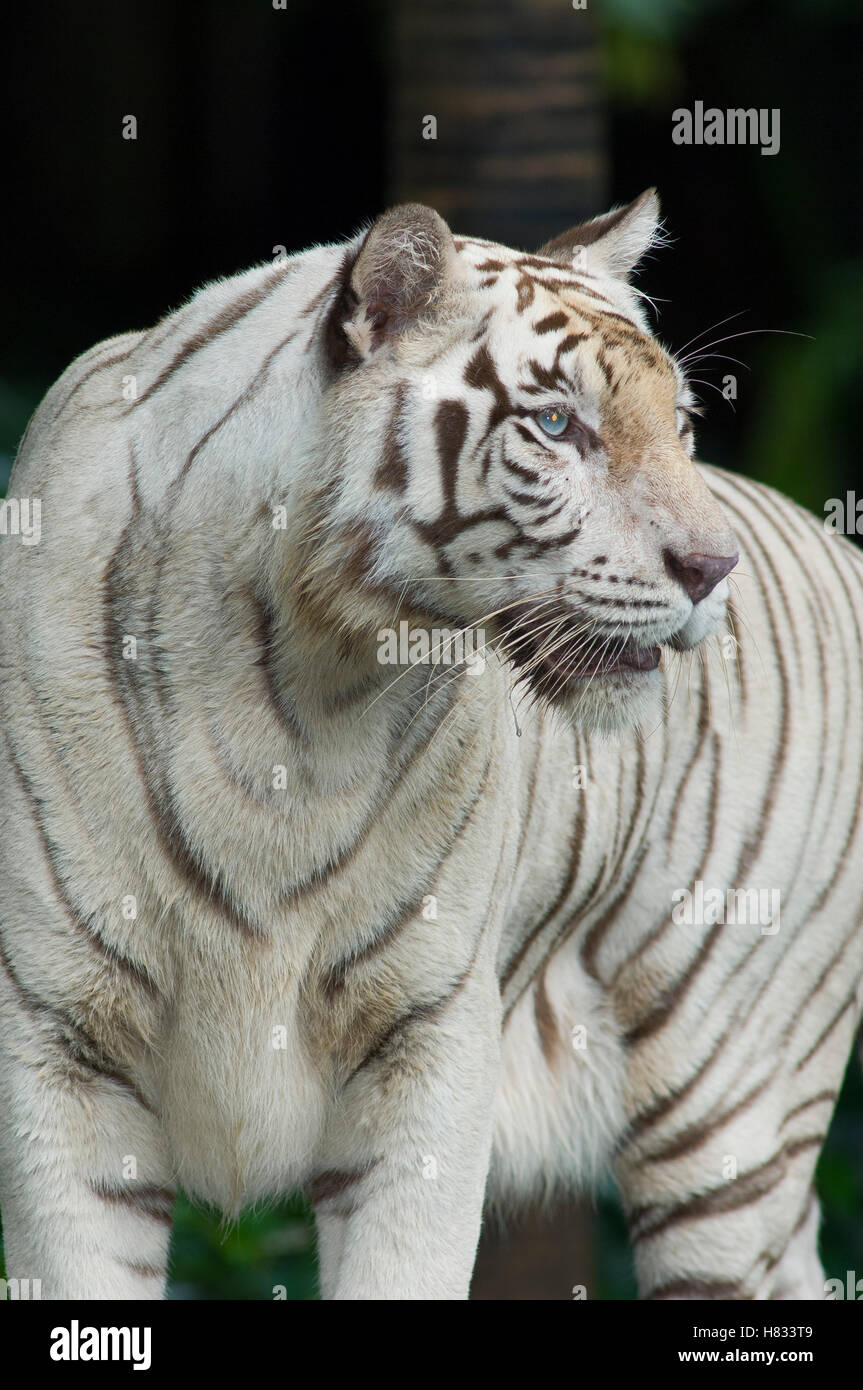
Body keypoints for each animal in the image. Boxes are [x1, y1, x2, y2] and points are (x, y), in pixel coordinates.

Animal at [1, 188, 861, 1302]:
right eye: (556, 424)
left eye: (678, 426)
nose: (715, 569)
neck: (297, 691)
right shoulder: (55, 1040)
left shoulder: (427, 1036)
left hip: (726, 1111)